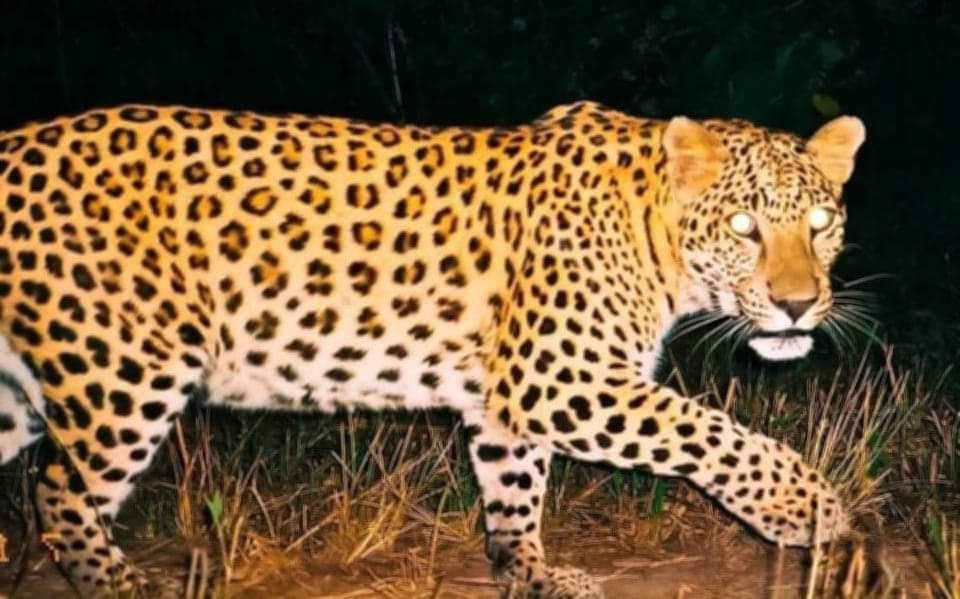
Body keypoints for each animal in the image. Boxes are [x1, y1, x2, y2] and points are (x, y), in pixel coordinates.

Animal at [0, 100, 864, 598]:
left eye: (821, 222)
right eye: (744, 227)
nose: (798, 303)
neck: (652, 228)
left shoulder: (508, 396)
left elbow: (513, 488)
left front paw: (529, 572)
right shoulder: (563, 376)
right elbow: (714, 433)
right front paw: (808, 507)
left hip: (24, 388)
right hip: (124, 367)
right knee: (61, 494)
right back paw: (120, 585)